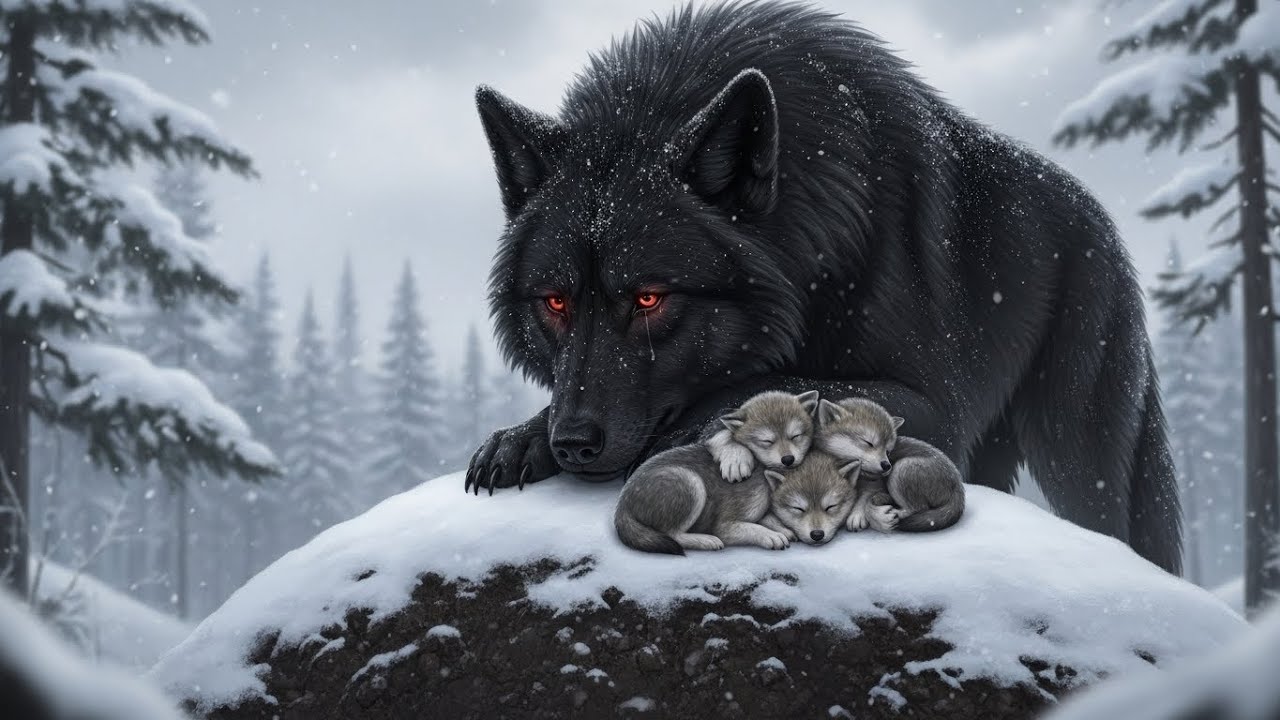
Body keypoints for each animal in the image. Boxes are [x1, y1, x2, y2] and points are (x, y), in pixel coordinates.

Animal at [817, 398, 965, 533]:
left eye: (888, 451)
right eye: (868, 443)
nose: (886, 466)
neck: (859, 479)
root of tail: (957, 483)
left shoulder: (875, 485)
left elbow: (864, 498)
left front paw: (857, 515)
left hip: (901, 469)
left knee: (918, 508)